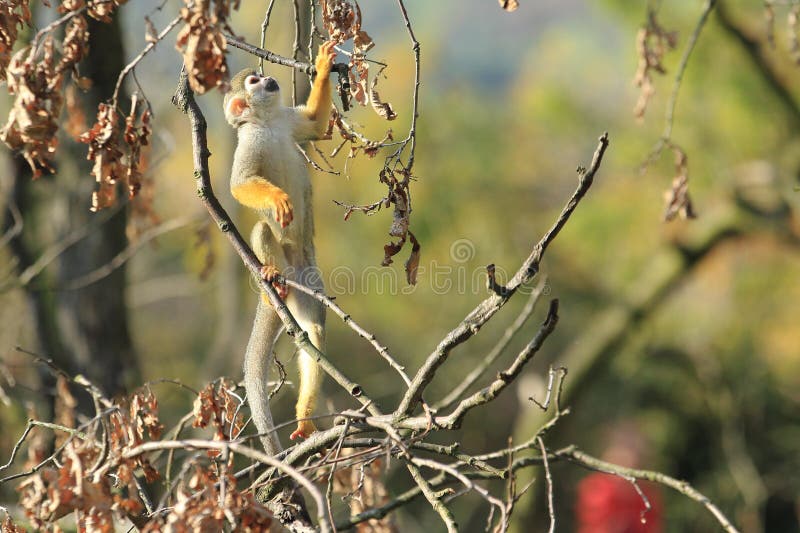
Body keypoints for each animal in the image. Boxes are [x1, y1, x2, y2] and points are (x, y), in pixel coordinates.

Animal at [223, 41, 336, 453]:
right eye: (253, 82)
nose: (269, 78)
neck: (268, 123)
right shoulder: (246, 144)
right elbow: (239, 186)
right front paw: (277, 198)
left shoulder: (287, 119)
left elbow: (315, 124)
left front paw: (324, 64)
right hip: (285, 266)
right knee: (261, 229)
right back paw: (271, 278)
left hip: (308, 276)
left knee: (312, 332)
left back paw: (304, 416)